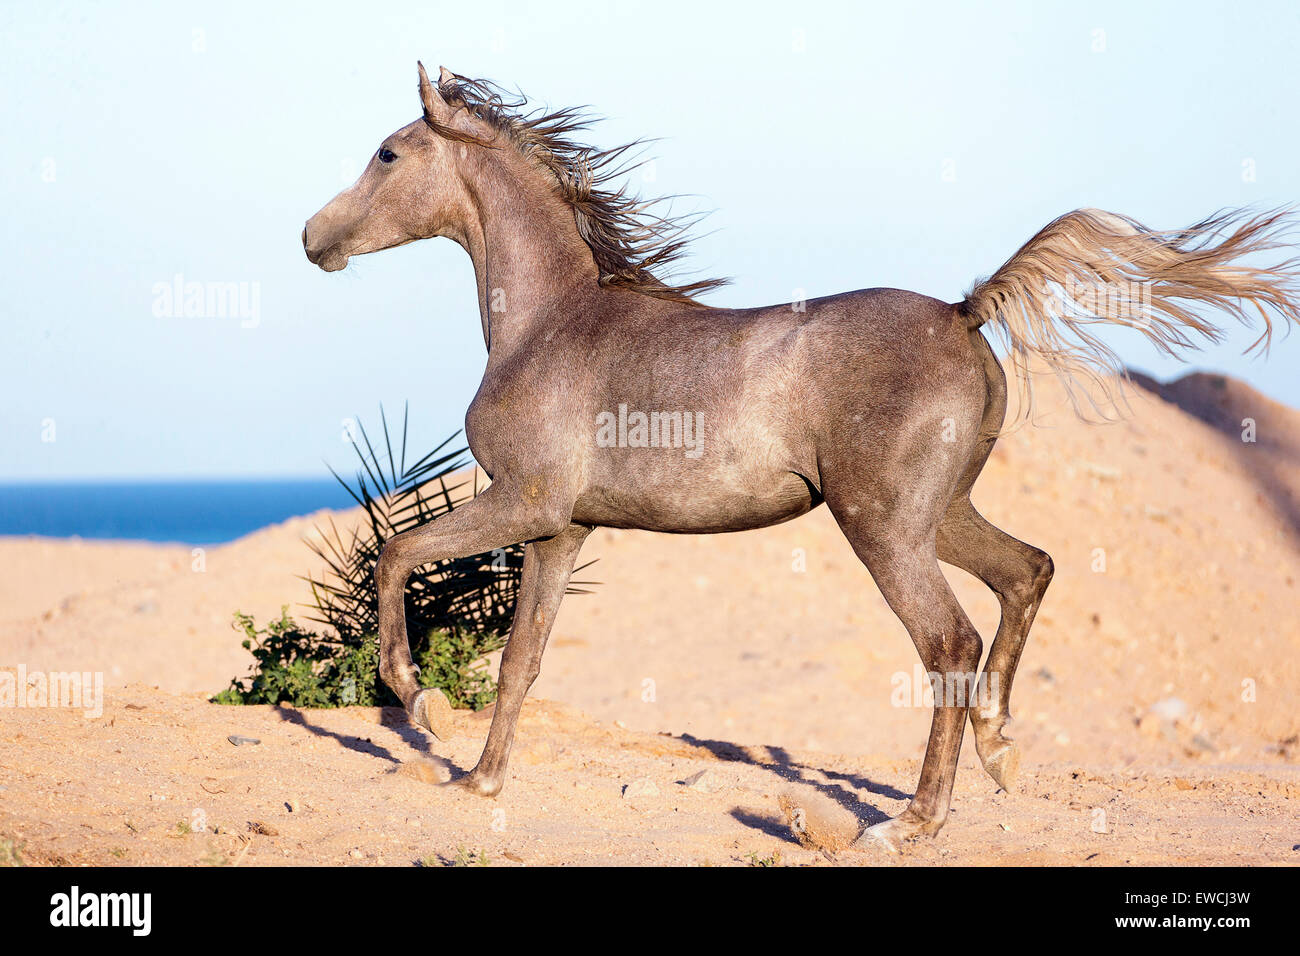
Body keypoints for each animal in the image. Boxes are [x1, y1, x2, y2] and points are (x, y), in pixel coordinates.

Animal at [303, 63, 1300, 851]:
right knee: (1028, 572)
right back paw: (1001, 750)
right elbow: (522, 661)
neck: (550, 323)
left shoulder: (523, 505)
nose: (314, 238)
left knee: (950, 639)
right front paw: (482, 779)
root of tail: (963, 312)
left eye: (387, 154)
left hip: (883, 527)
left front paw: (420, 705)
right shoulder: (562, 532)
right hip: (940, 516)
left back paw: (914, 821)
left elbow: (396, 555)